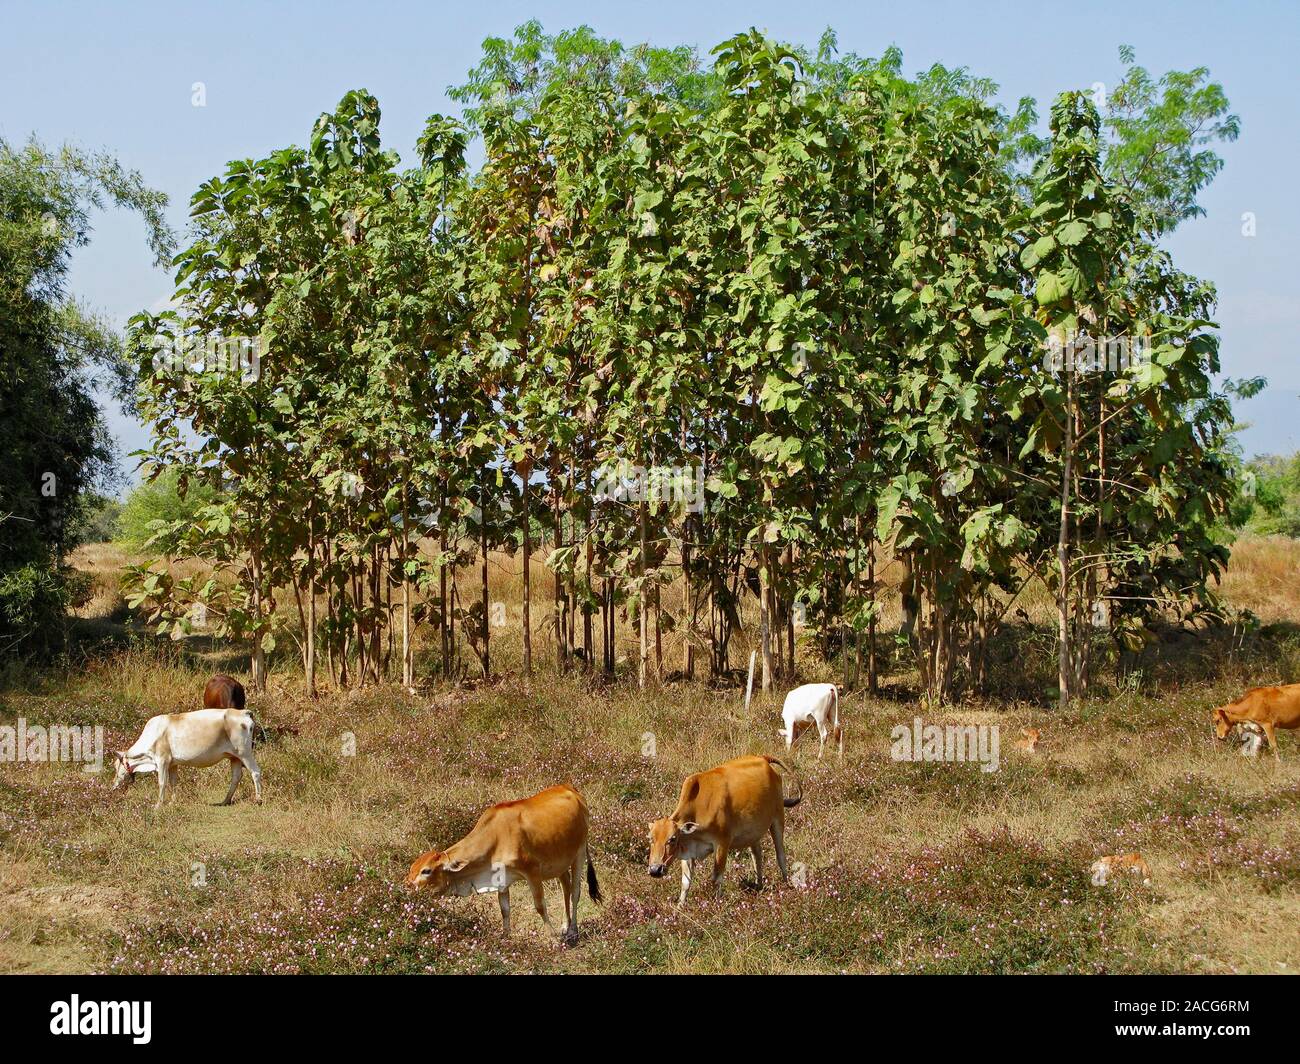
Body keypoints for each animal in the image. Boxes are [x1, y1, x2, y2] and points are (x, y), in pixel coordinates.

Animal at [112, 708, 262, 809]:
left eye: (115, 766)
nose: (114, 786)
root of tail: (243, 712)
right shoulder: (172, 764)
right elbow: (173, 783)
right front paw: (172, 802)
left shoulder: (162, 760)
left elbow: (162, 783)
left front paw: (158, 805)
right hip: (234, 757)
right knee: (236, 777)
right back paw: (225, 801)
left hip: (245, 753)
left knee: (255, 772)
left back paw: (258, 800)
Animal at [404, 783, 601, 945]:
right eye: (411, 869)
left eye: (426, 871)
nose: (407, 887)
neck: (496, 837)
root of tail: (570, 788)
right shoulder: (501, 879)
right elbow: (505, 910)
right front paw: (505, 938)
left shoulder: (532, 872)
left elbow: (540, 906)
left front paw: (552, 939)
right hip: (559, 862)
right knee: (566, 887)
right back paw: (565, 925)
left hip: (579, 853)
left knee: (575, 892)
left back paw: (573, 931)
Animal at [648, 754, 801, 905]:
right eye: (650, 839)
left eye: (672, 839)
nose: (655, 869)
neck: (698, 807)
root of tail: (764, 758)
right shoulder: (688, 849)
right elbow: (686, 882)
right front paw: (680, 905)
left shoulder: (722, 843)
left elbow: (716, 879)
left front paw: (717, 904)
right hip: (753, 833)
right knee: (757, 855)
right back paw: (759, 886)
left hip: (777, 819)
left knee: (780, 856)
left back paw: (786, 885)